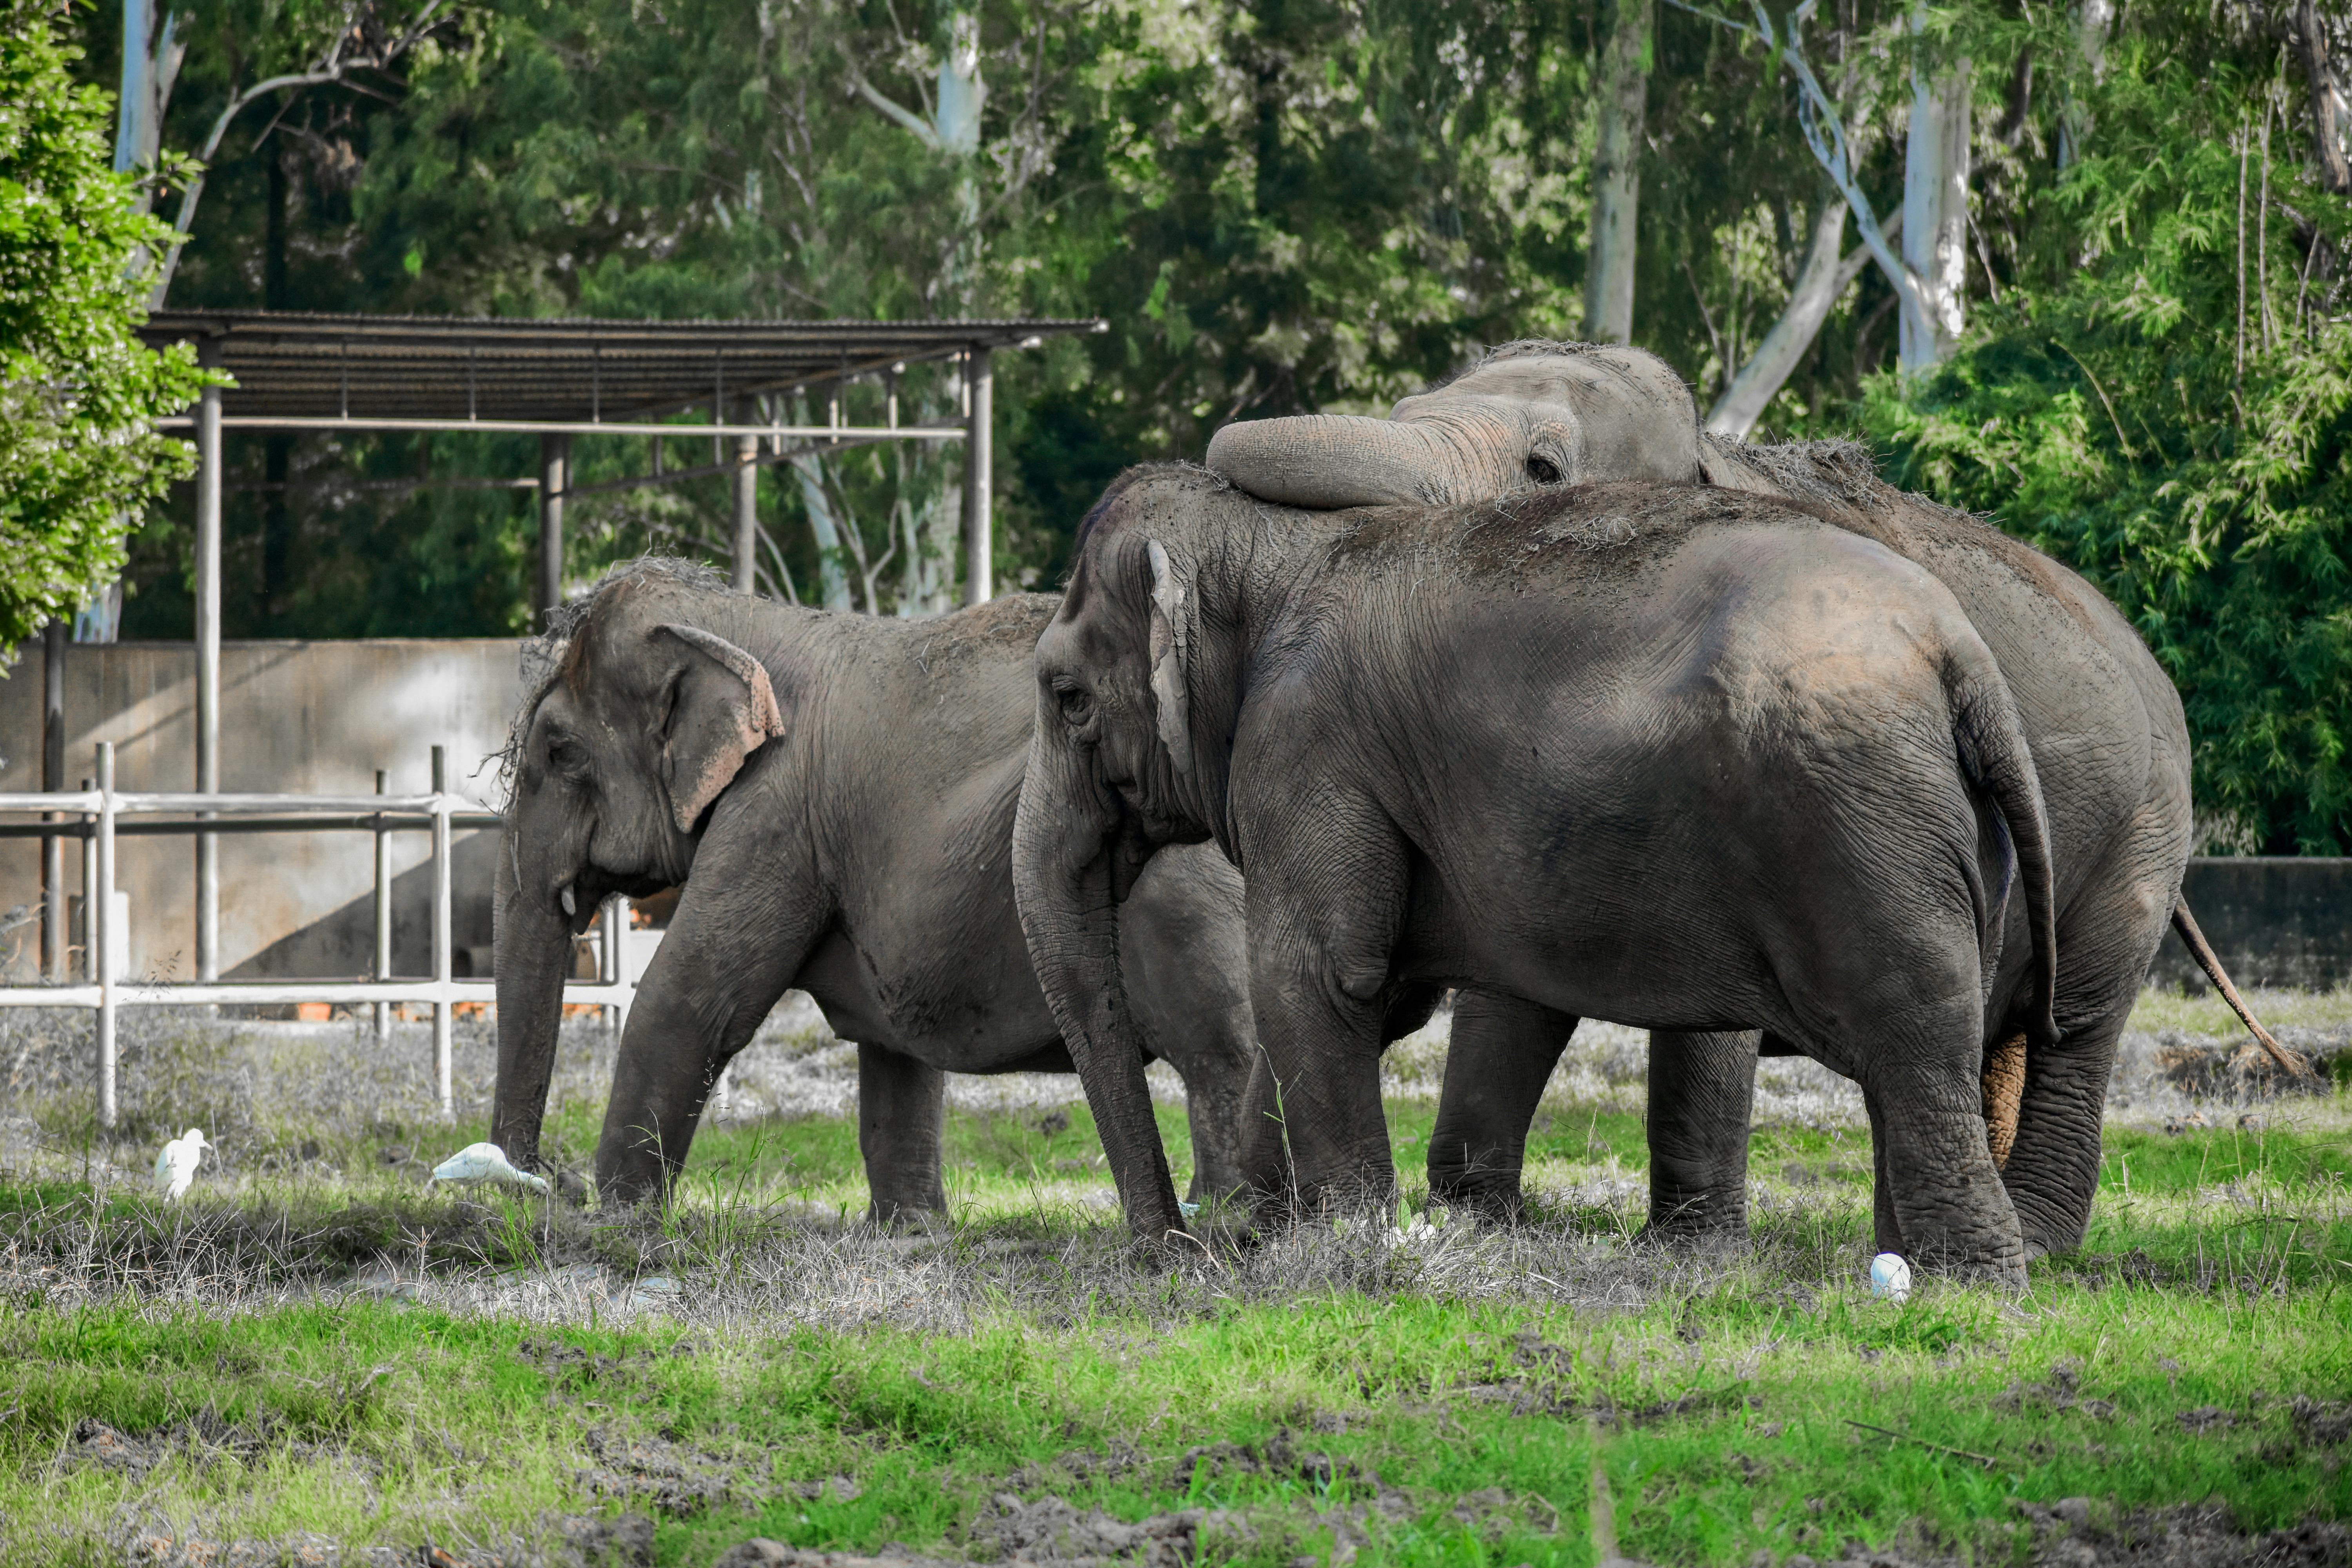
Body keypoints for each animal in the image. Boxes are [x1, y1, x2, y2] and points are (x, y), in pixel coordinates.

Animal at [491, 558, 1259, 1215]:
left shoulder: (775, 812)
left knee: (1222, 1056)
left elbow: (686, 999)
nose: (541, 1179)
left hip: (1187, 901)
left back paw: (1223, 1223)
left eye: (561, 752)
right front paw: (910, 1228)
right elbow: (896, 1046)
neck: (744, 621)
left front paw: (617, 1224)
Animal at [1013, 467, 2060, 1284]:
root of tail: (1961, 652)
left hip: (1860, 828)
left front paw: (1345, 1254)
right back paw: (1908, 1267)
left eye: (1066, 697)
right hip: (1951, 842)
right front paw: (1287, 1235)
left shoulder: (1307, 743)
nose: (1171, 1248)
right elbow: (1386, 991)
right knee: (1921, 1050)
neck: (1274, 545)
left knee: (1913, 1039)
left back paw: (1968, 1288)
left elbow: (1315, 977)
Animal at [1203, 338, 2294, 1261]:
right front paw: (1477, 1219)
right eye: (1400, 411)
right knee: (1984, 1026)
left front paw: (1691, 1250)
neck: (1713, 454)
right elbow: (1516, 980)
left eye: (1545, 469)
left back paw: (2039, 1243)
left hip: (2140, 834)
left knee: (2081, 1022)